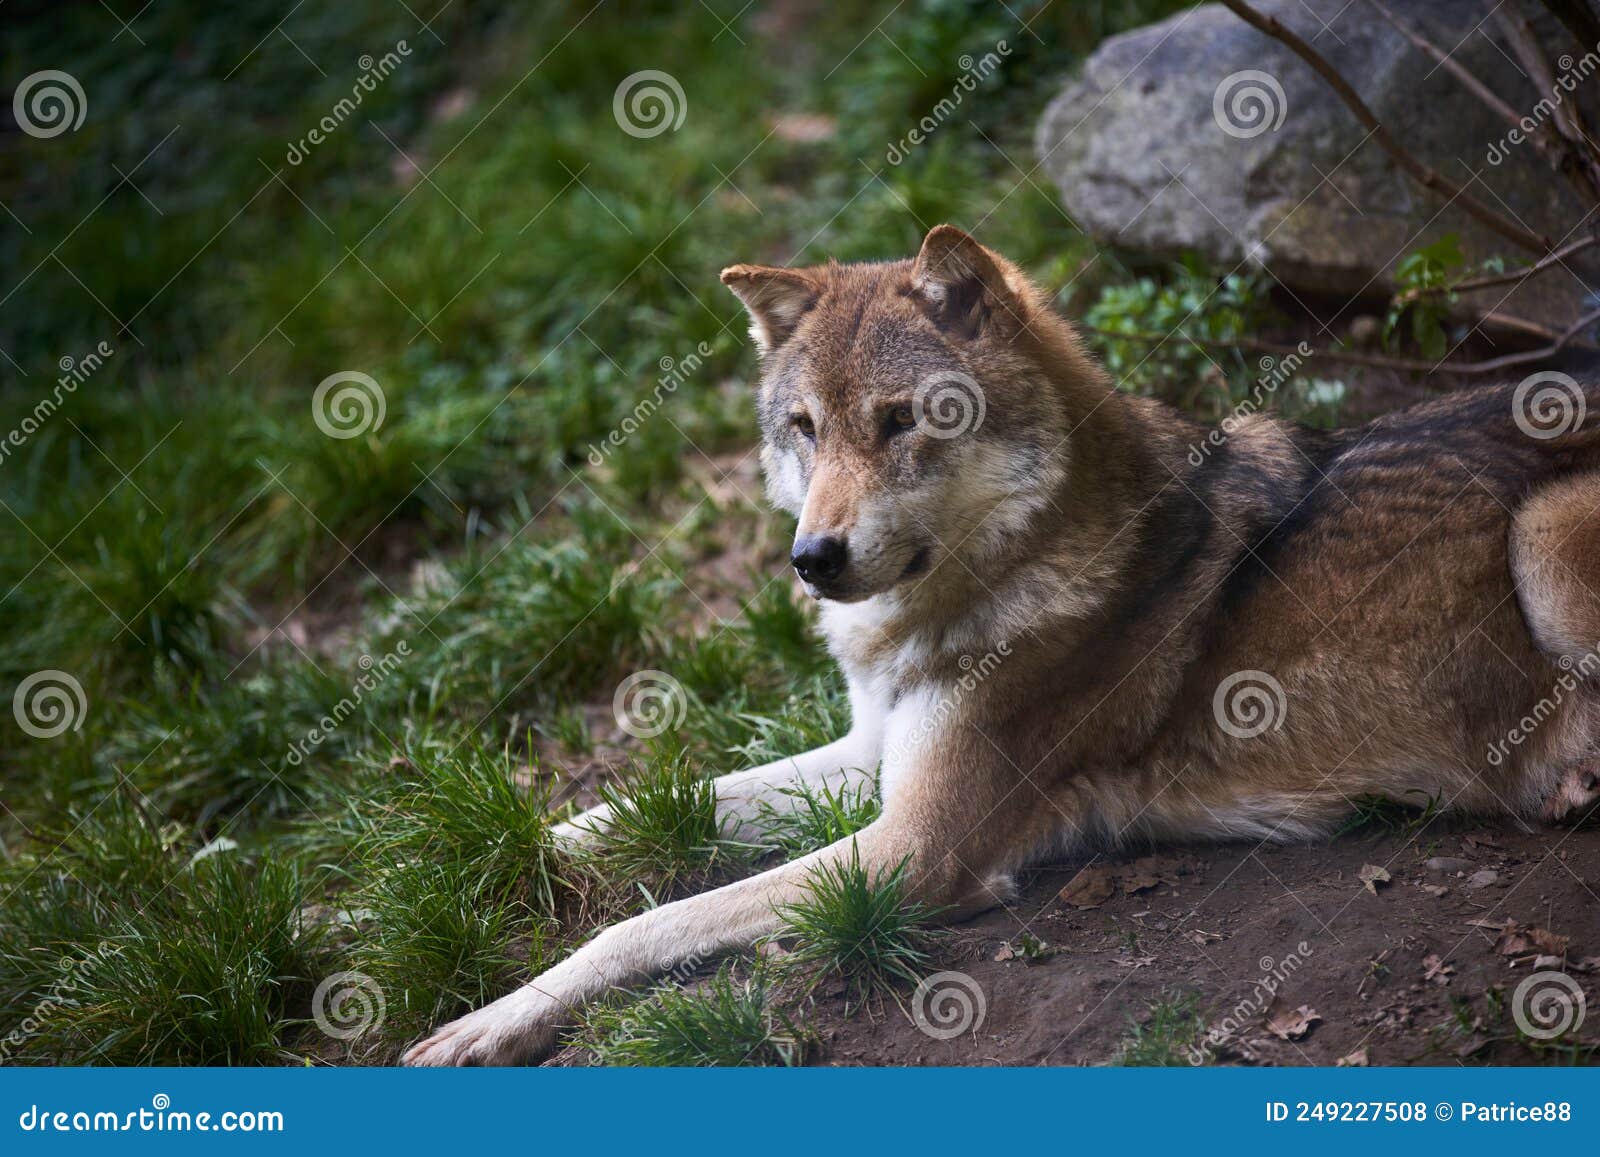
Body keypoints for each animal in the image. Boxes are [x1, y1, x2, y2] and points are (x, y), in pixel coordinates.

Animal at [405, 225, 1600, 1065]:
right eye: (805, 429)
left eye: (901, 420)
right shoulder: (869, 756)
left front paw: (492, 1019)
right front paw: (486, 855)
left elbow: (649, 925)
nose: (812, 557)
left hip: (1542, 533)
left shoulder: (912, 849)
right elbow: (633, 809)